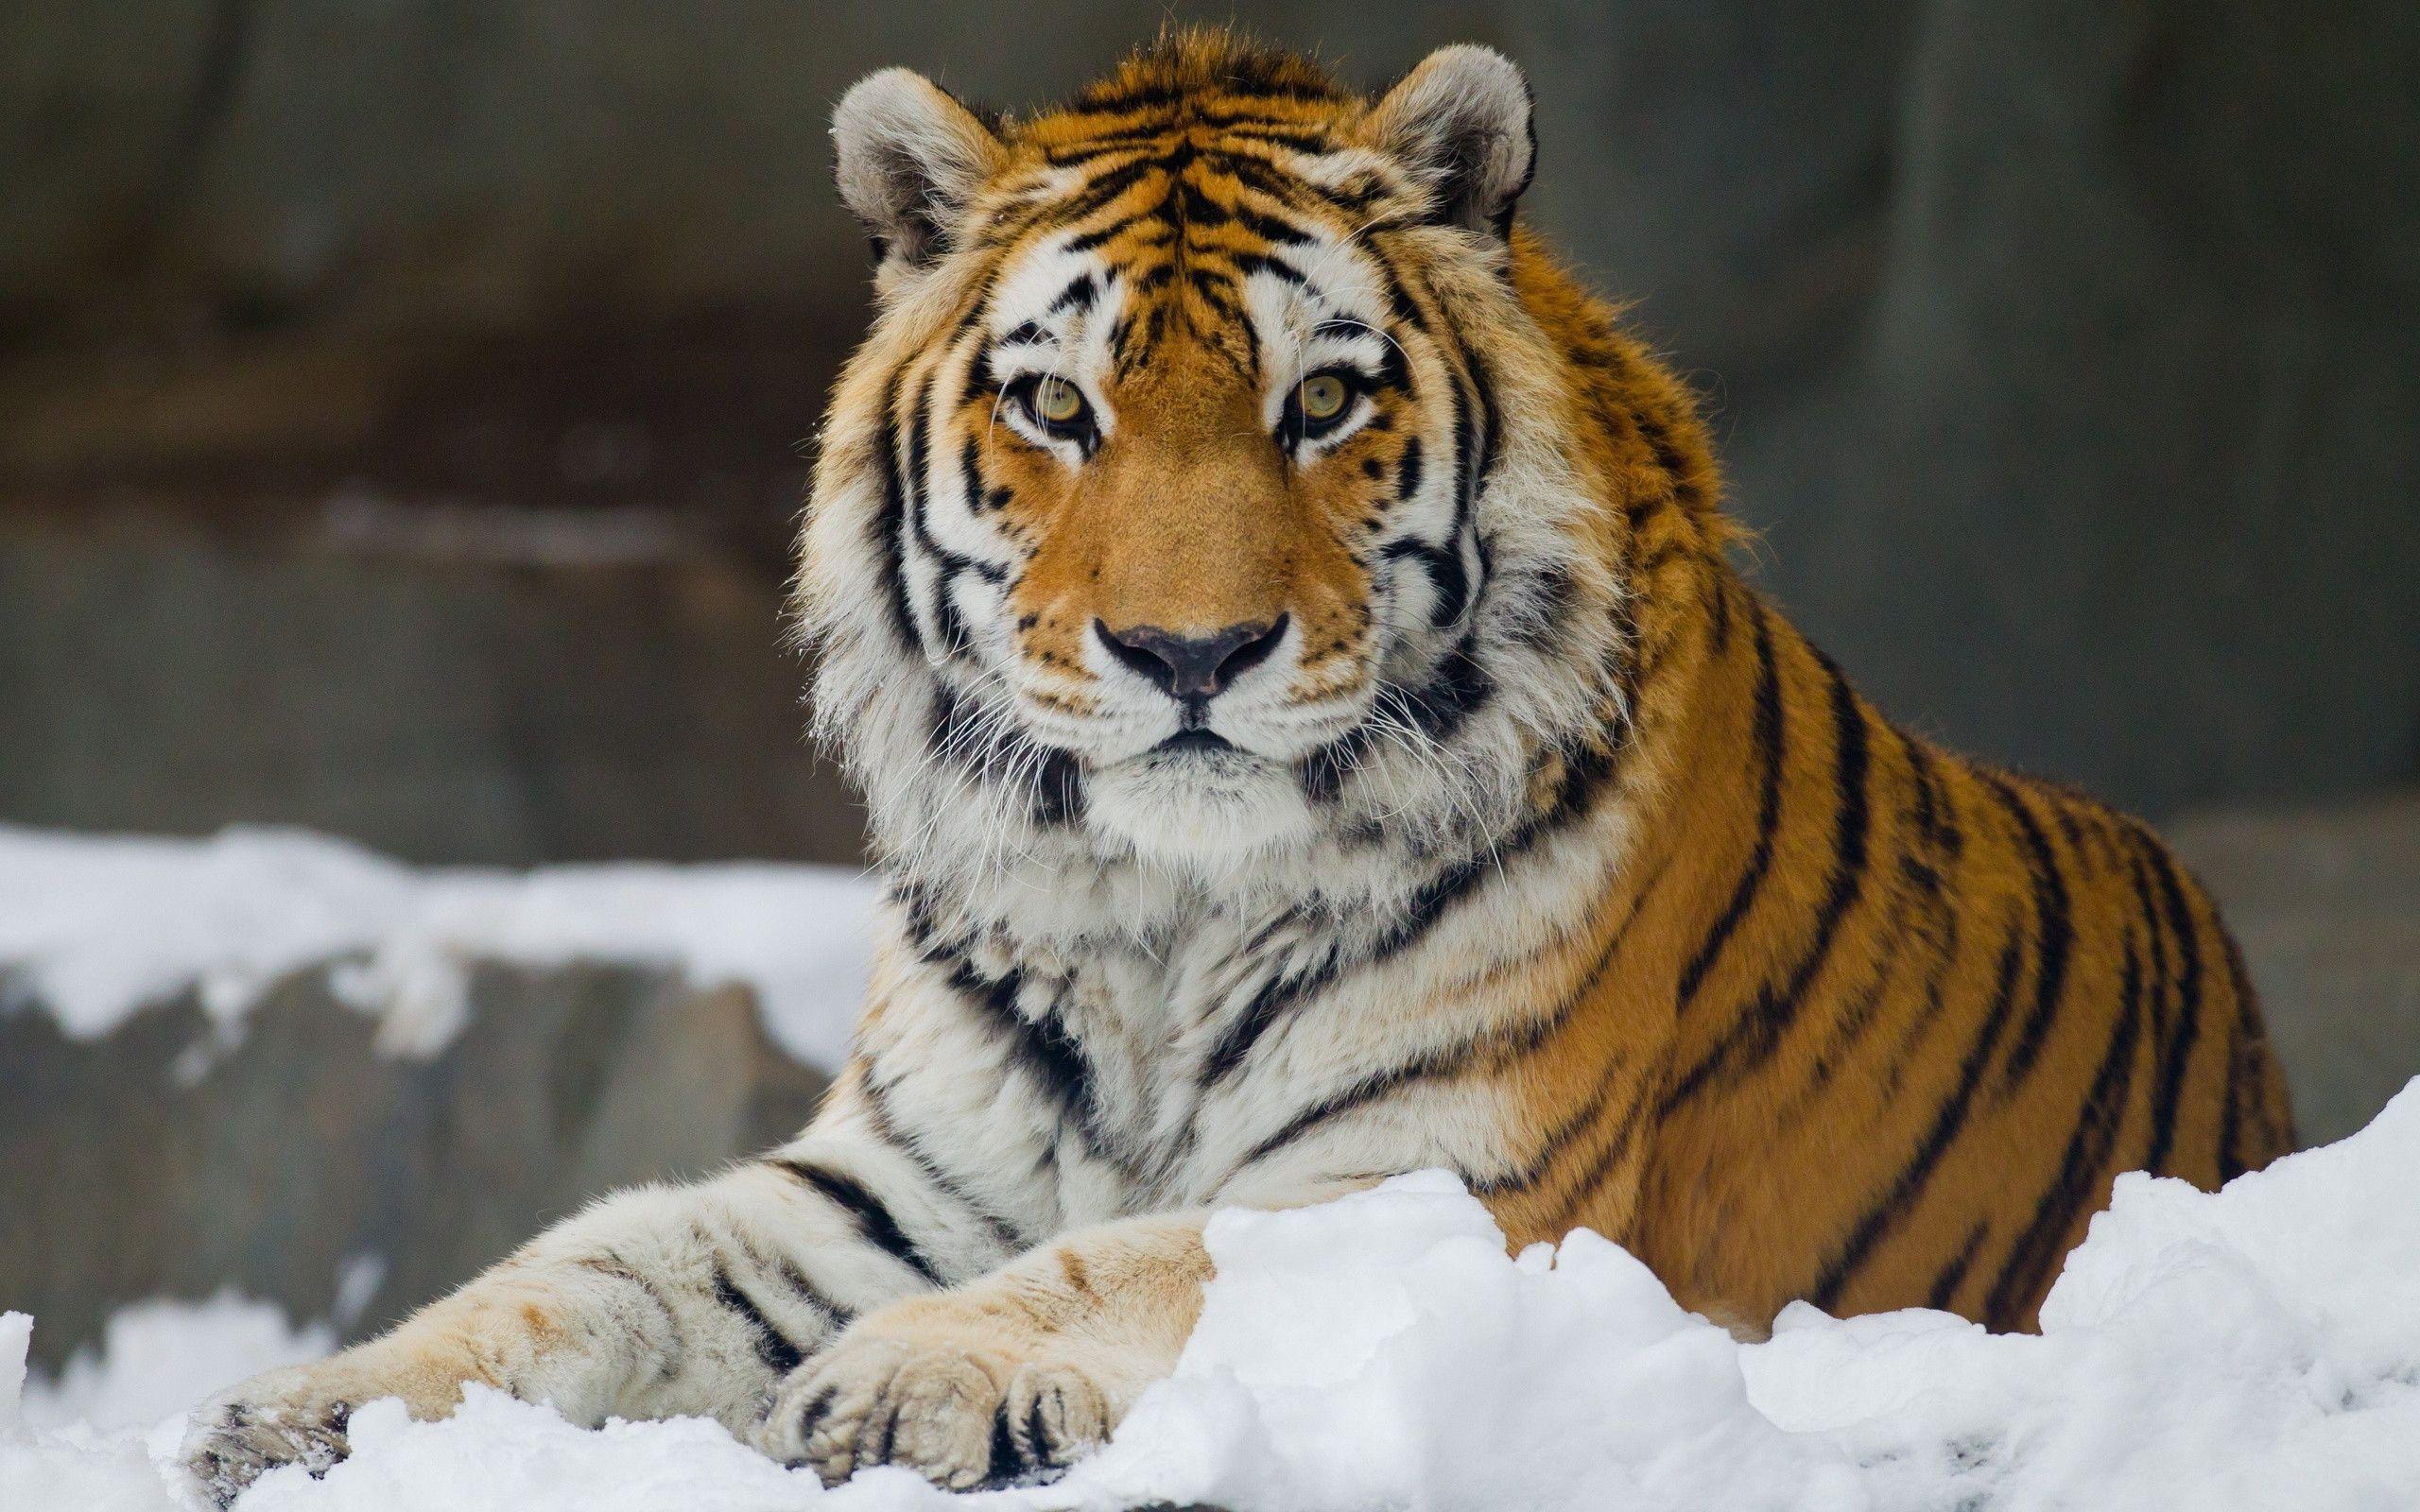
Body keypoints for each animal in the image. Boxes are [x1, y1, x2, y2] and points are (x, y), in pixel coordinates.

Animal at [182, 31, 2296, 1501]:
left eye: (1325, 399)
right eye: (1056, 405)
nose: (1189, 655)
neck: (1159, 910)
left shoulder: (1449, 1186)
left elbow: (1127, 1253)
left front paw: (893, 1381)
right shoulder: (887, 1181)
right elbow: (588, 1265)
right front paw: (297, 1413)